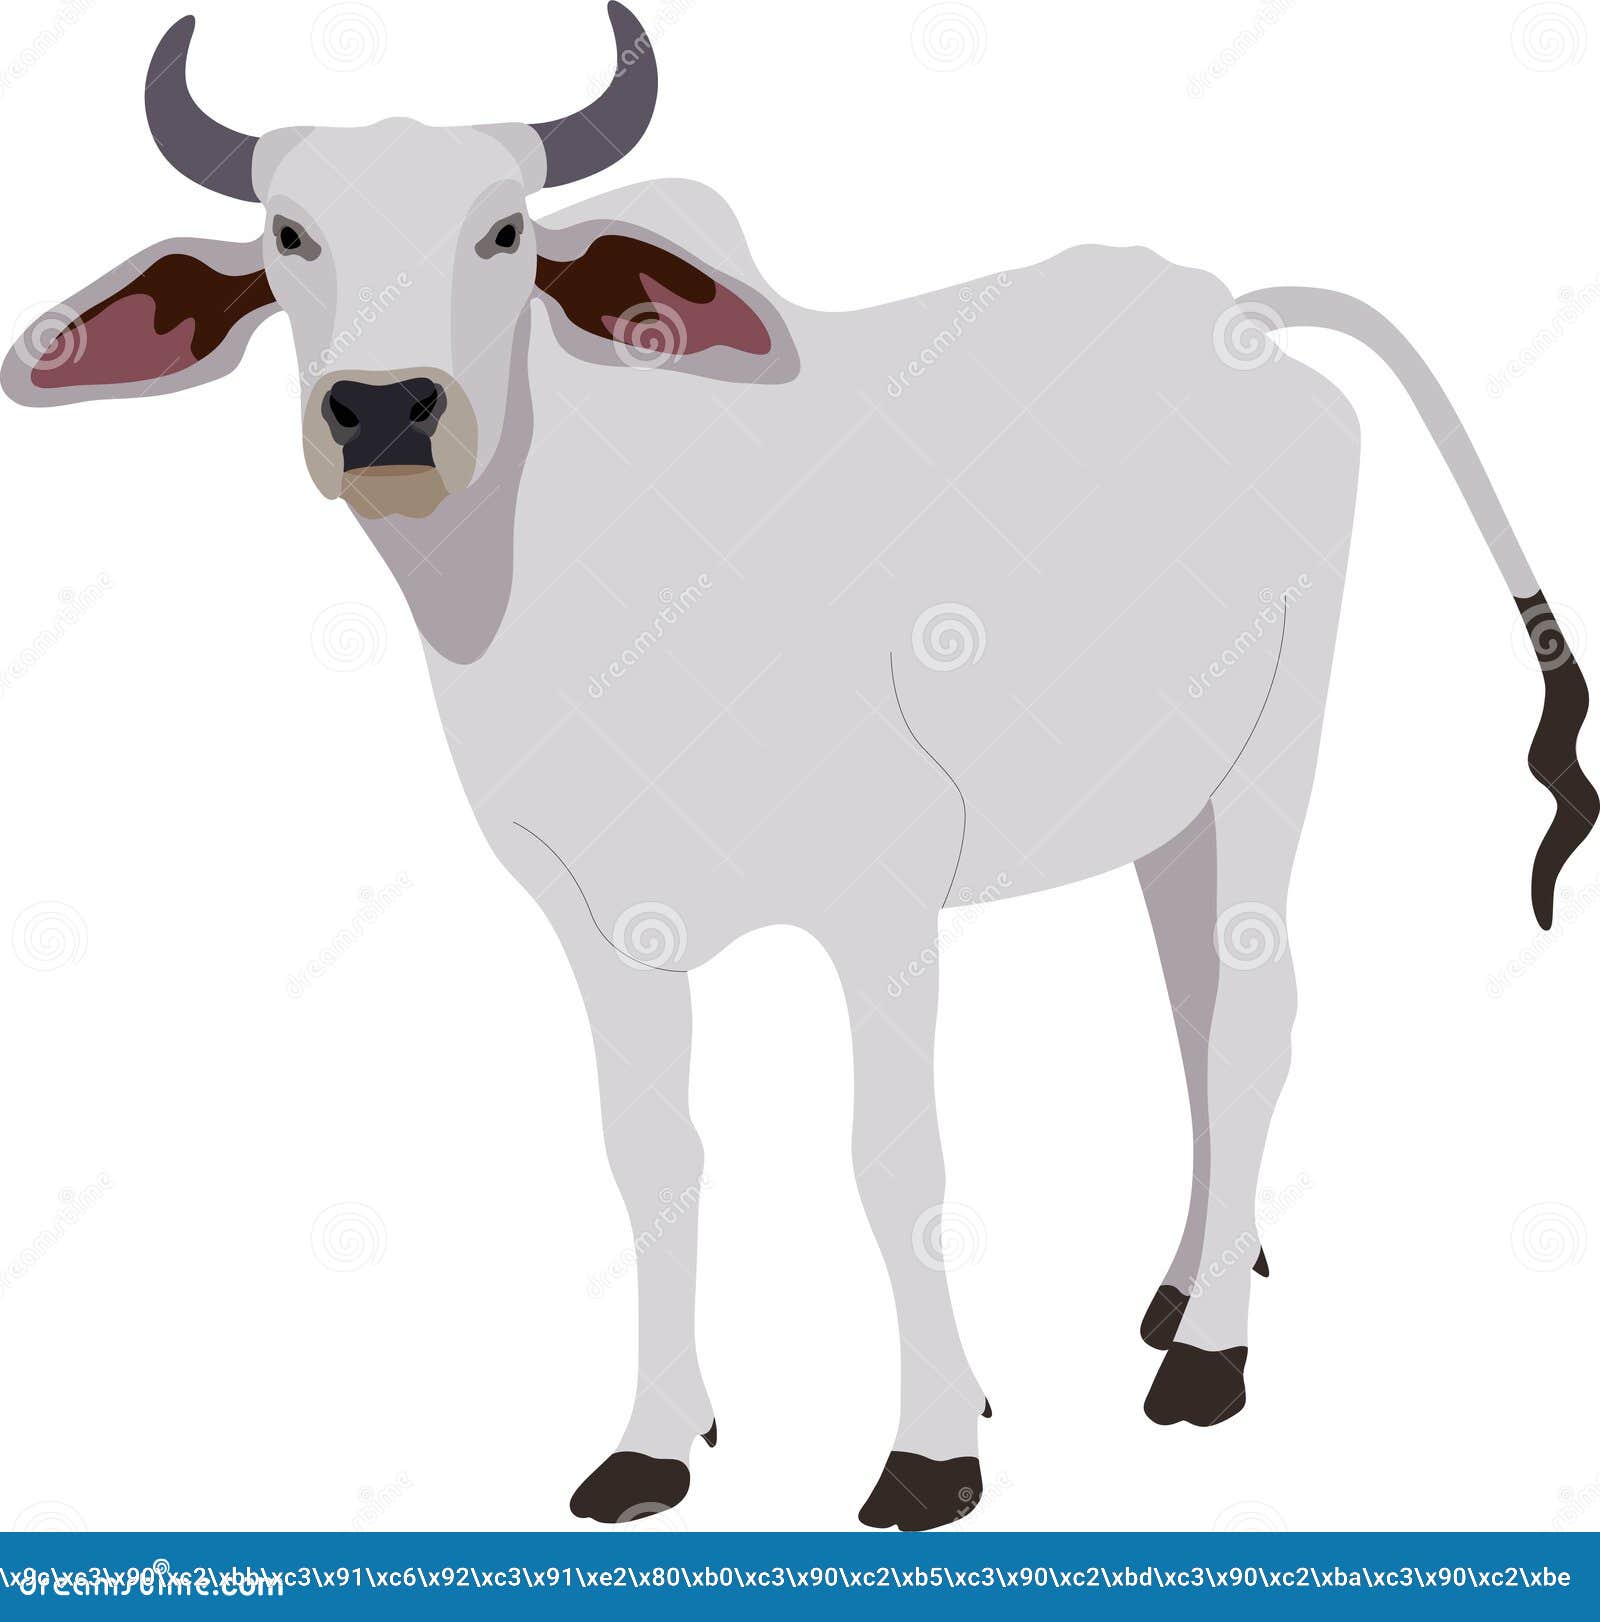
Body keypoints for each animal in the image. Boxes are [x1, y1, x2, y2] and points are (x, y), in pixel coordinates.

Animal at [5, 8, 1595, 1532]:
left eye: (505, 230)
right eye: (289, 236)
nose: (385, 409)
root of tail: (1234, 311)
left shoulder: (882, 900)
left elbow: (896, 1163)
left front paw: (935, 1451)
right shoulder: (599, 925)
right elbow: (653, 1163)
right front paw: (653, 1445)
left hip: (1275, 753)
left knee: (1256, 1011)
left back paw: (1208, 1354)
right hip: (1167, 806)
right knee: (1193, 1006)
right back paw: (1182, 1285)